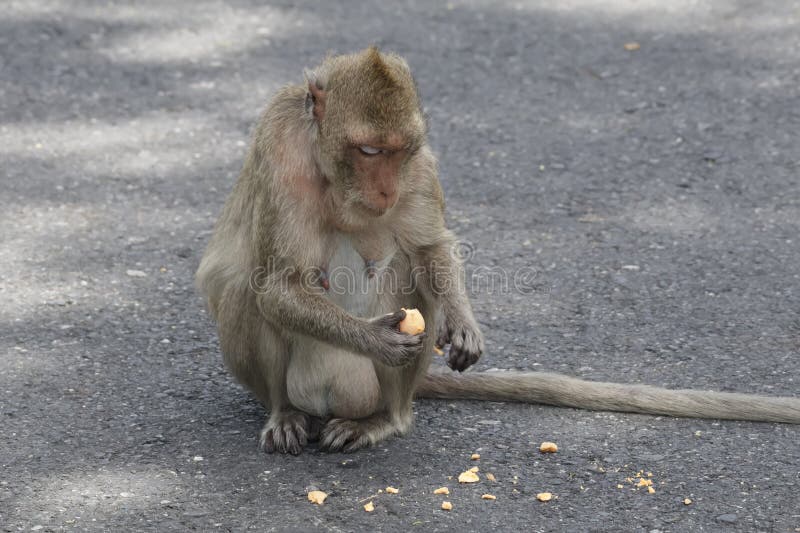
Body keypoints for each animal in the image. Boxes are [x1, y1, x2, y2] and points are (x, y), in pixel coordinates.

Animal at [196, 47, 800, 455]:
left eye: (399, 151)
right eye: (368, 151)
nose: (387, 189)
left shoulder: (421, 164)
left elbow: (430, 246)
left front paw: (463, 324)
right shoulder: (281, 148)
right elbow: (279, 283)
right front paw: (375, 338)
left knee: (409, 271)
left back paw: (384, 420)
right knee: (245, 287)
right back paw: (284, 413)